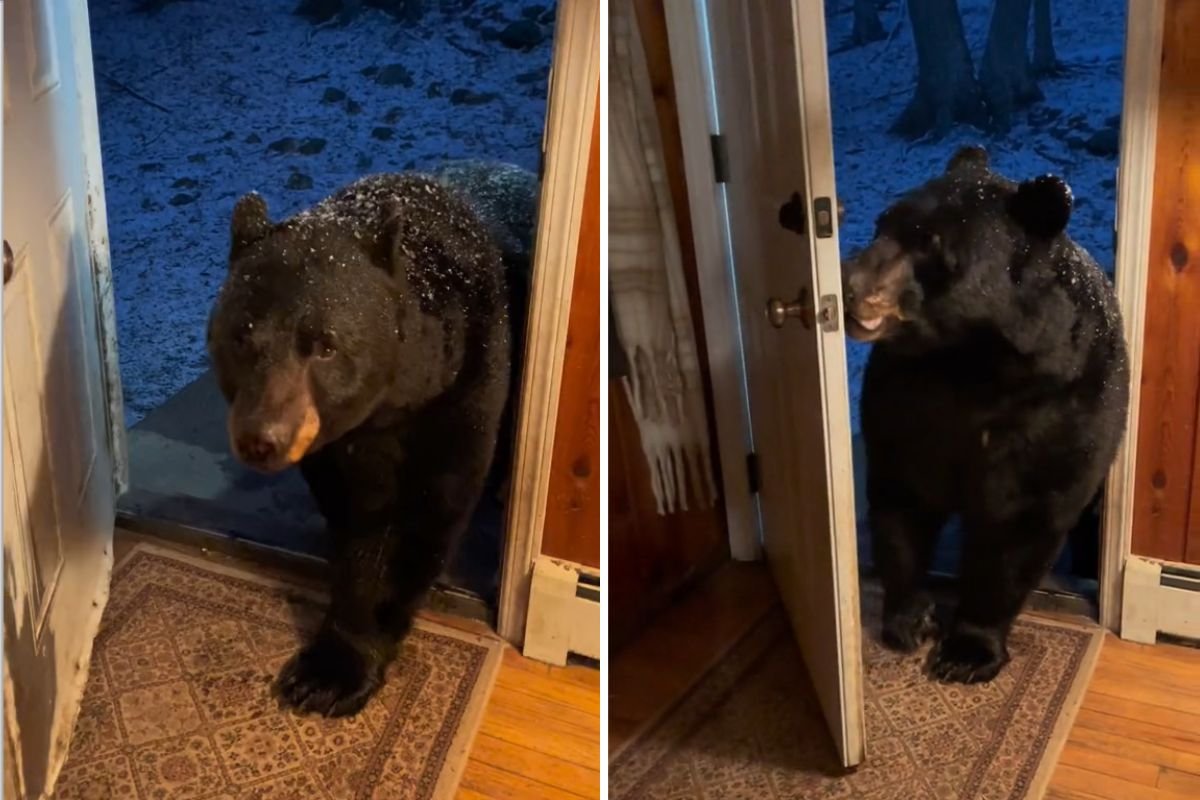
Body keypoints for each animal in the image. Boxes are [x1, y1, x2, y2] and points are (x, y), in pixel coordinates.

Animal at [207, 171, 511, 716]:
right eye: (241, 336)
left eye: (326, 345)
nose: (262, 439)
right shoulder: (330, 448)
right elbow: (356, 513)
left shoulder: (465, 386)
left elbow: (425, 511)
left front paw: (335, 674)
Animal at [841, 145, 1129, 684]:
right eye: (881, 223)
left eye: (931, 243)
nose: (848, 284)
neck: (969, 365)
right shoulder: (905, 399)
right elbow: (902, 500)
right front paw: (910, 618)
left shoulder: (1060, 410)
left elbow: (1018, 526)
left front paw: (966, 652)